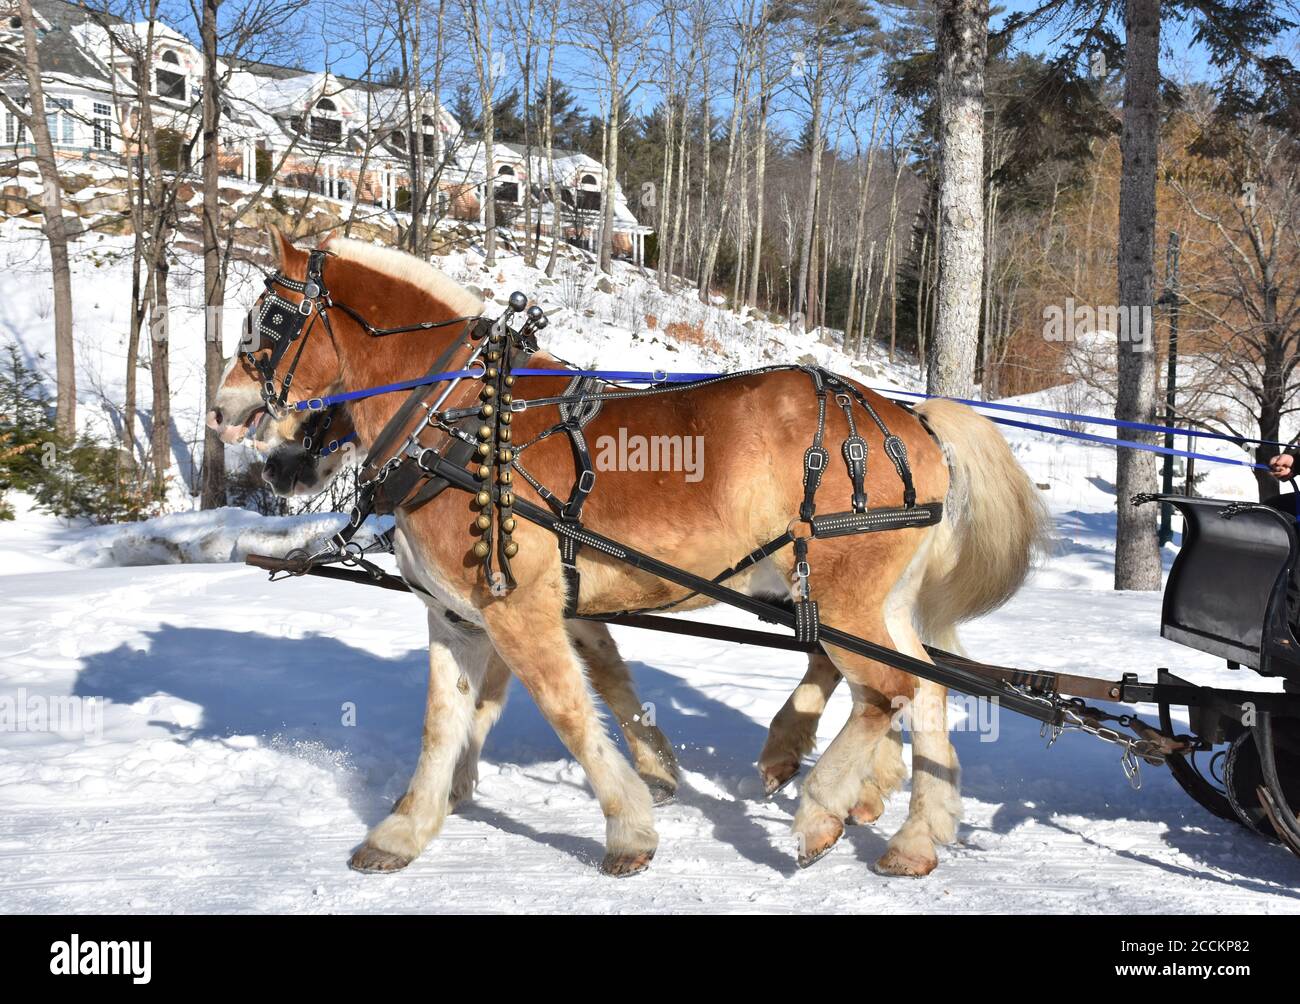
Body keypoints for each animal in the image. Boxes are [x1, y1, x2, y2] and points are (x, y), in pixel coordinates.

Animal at [213, 232, 1047, 877]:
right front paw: (404, 829)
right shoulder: (464, 618)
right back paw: (915, 837)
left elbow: (569, 711)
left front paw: (630, 828)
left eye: (270, 320)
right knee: (927, 691)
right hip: (879, 601)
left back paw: (818, 805)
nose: (223, 410)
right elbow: (451, 721)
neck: (456, 421)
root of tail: (910, 419)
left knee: (887, 691)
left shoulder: (517, 610)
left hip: (842, 598)